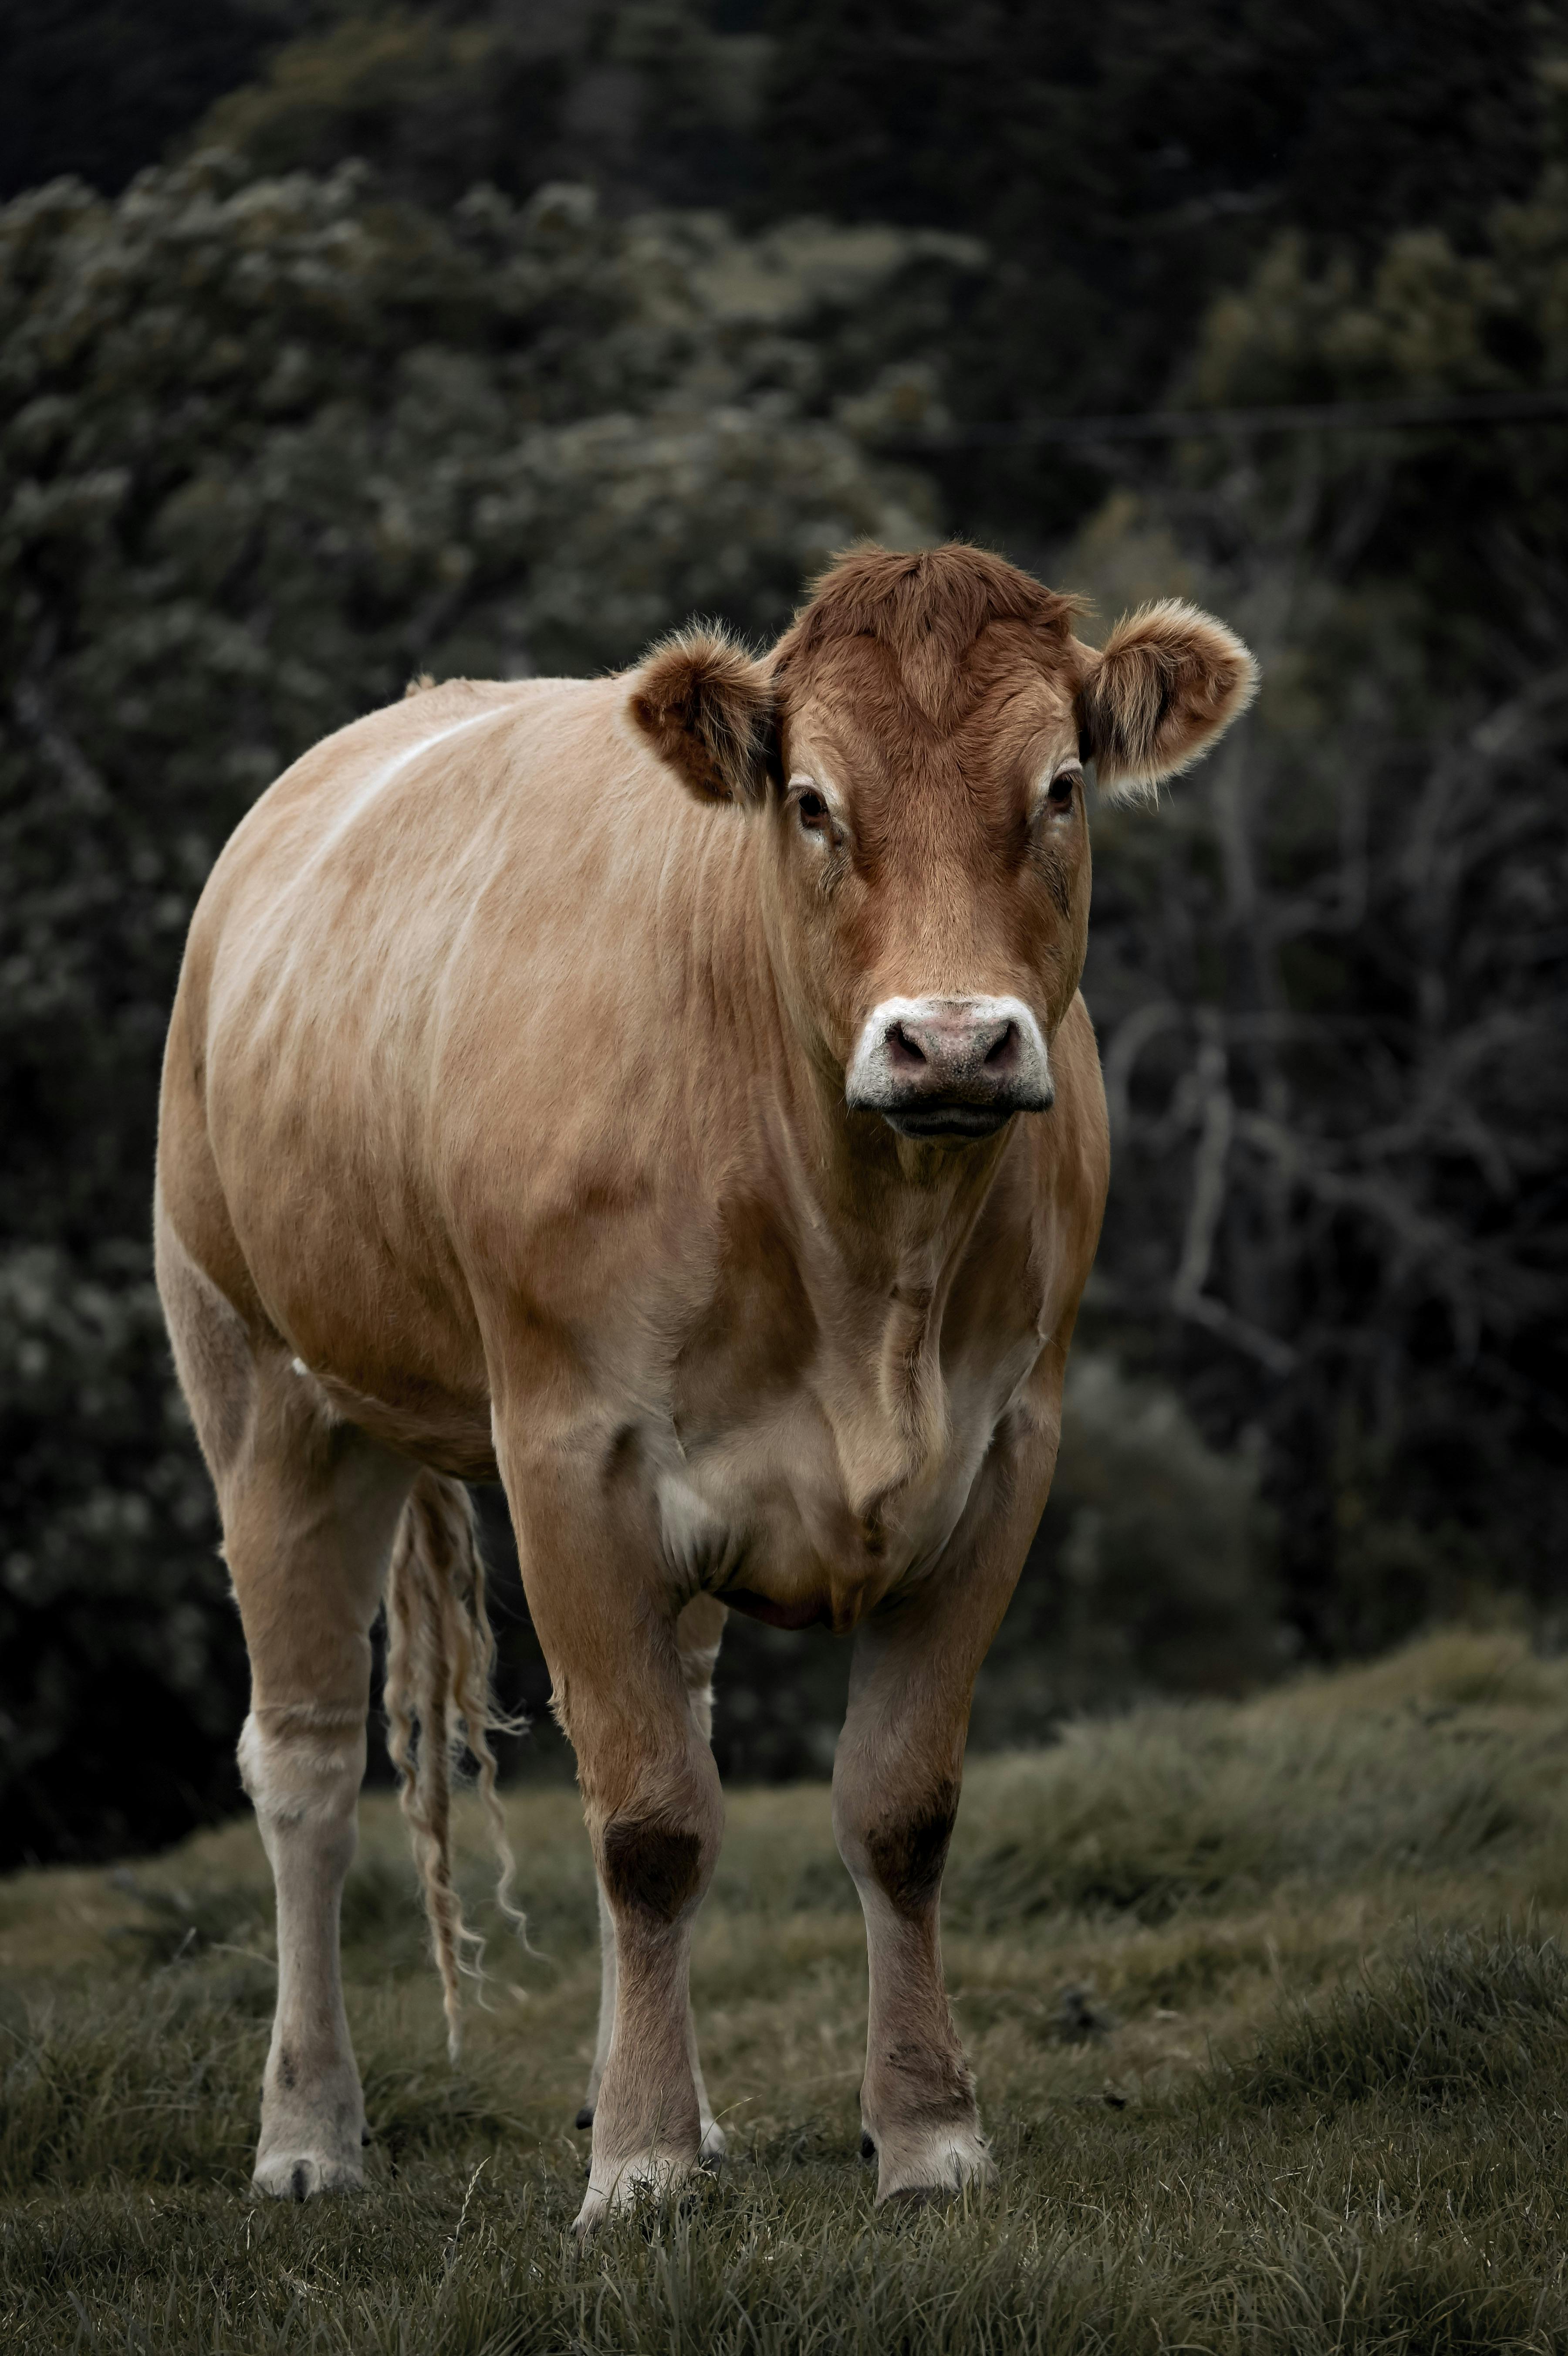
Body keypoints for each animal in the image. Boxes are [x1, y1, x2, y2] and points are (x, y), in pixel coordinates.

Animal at [154, 542, 1254, 2226]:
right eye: (812, 799)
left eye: (1061, 784)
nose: (950, 1042)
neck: (869, 1259)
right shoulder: (568, 1459)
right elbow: (651, 1826)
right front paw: (644, 2164)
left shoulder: (1006, 1454)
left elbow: (893, 1807)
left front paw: (923, 2131)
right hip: (263, 1389)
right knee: (310, 1764)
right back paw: (308, 2131)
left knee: (670, 1715)